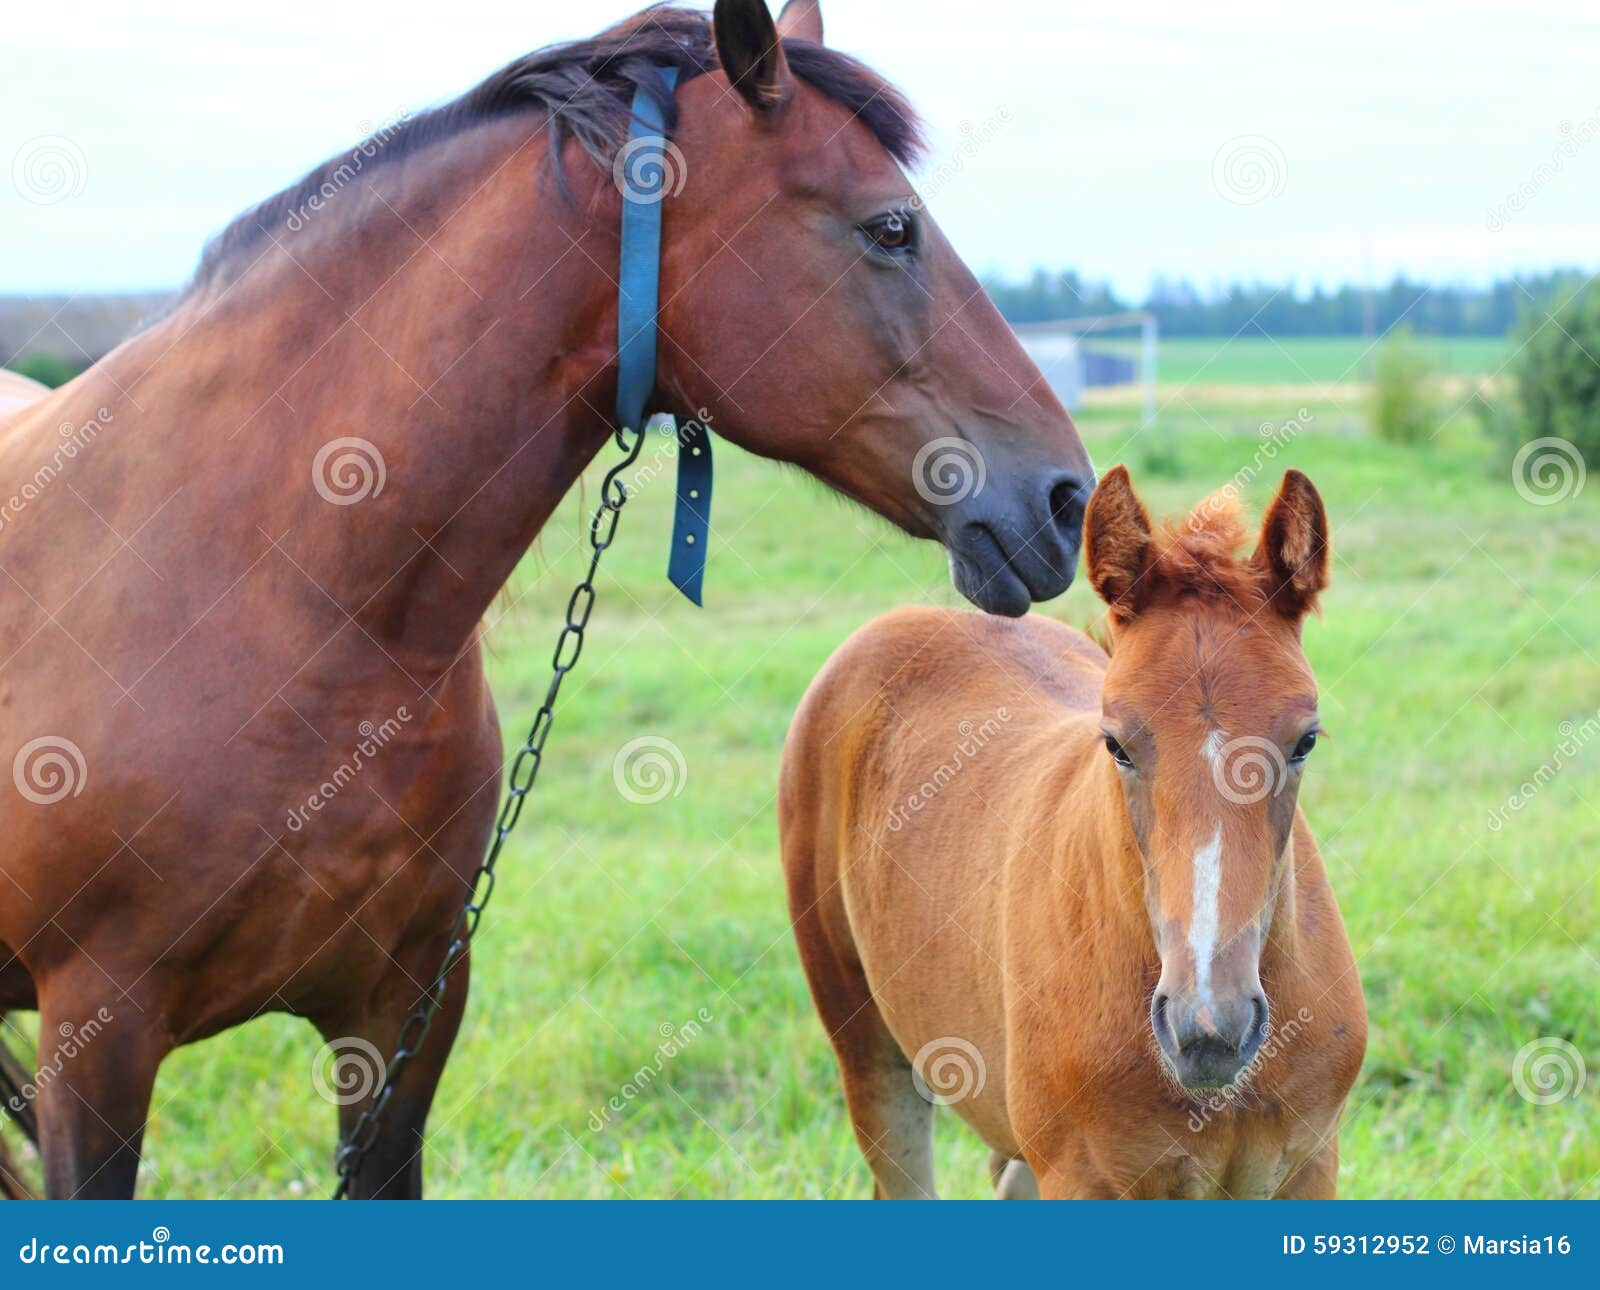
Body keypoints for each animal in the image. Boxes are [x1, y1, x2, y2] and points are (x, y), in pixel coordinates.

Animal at [779, 467, 1366, 1199]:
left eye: (1305, 740)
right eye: (1115, 743)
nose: (1208, 1028)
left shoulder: (1309, 1164)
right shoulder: (1081, 1176)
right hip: (867, 1051)